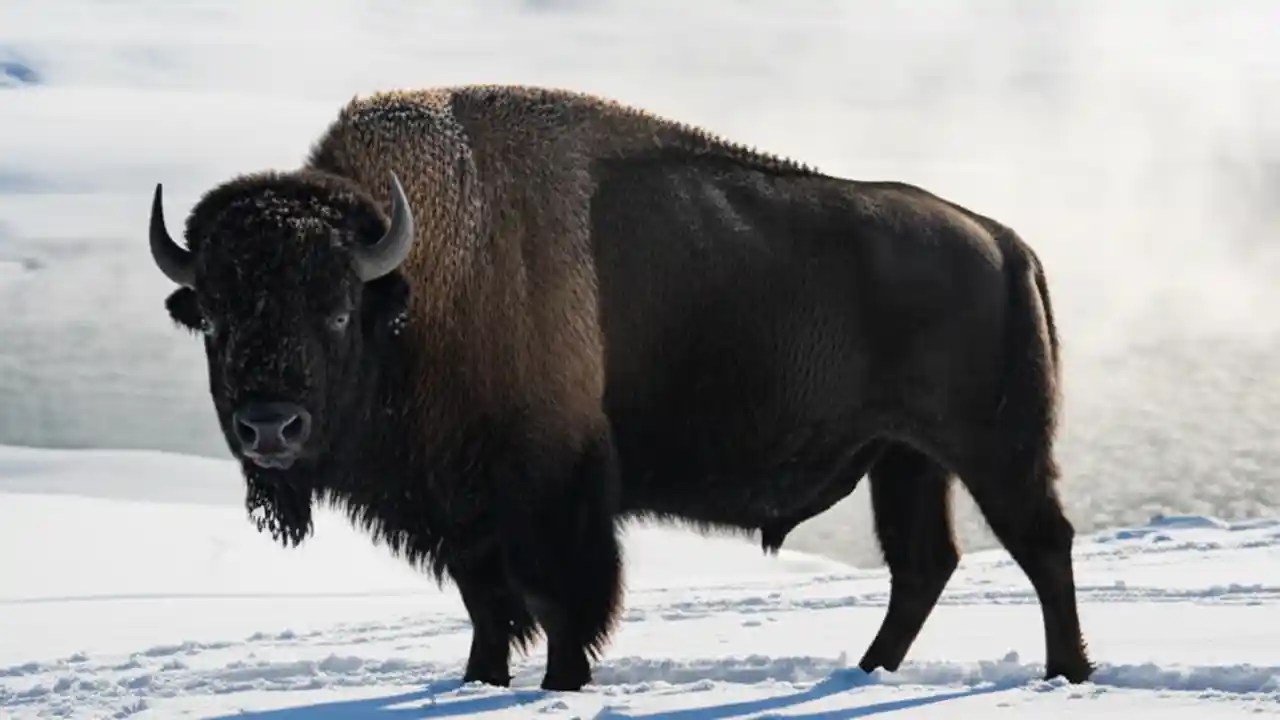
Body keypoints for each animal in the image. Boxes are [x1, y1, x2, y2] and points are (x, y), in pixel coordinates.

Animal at [149, 85, 1091, 690]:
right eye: (216, 318)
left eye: (338, 309)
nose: (270, 427)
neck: (418, 289)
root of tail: (1007, 242)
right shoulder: (464, 515)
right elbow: (488, 608)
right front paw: (479, 684)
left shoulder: (555, 500)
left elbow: (565, 604)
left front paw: (560, 687)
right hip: (905, 459)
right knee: (923, 564)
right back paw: (864, 674)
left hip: (993, 451)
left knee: (1042, 545)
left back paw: (1066, 674)